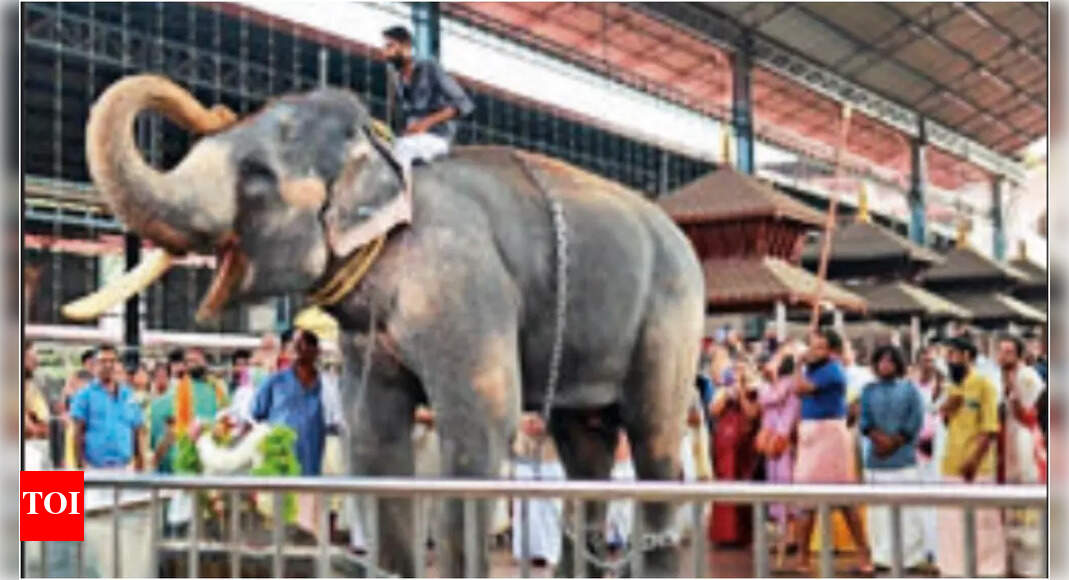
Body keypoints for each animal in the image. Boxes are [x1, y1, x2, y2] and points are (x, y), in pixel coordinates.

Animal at [83, 75, 706, 577]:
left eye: (256, 178)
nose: (211, 105)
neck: (384, 159)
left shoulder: (460, 280)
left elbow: (479, 424)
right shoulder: (367, 338)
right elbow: (374, 438)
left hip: (672, 311)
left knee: (653, 437)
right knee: (585, 445)